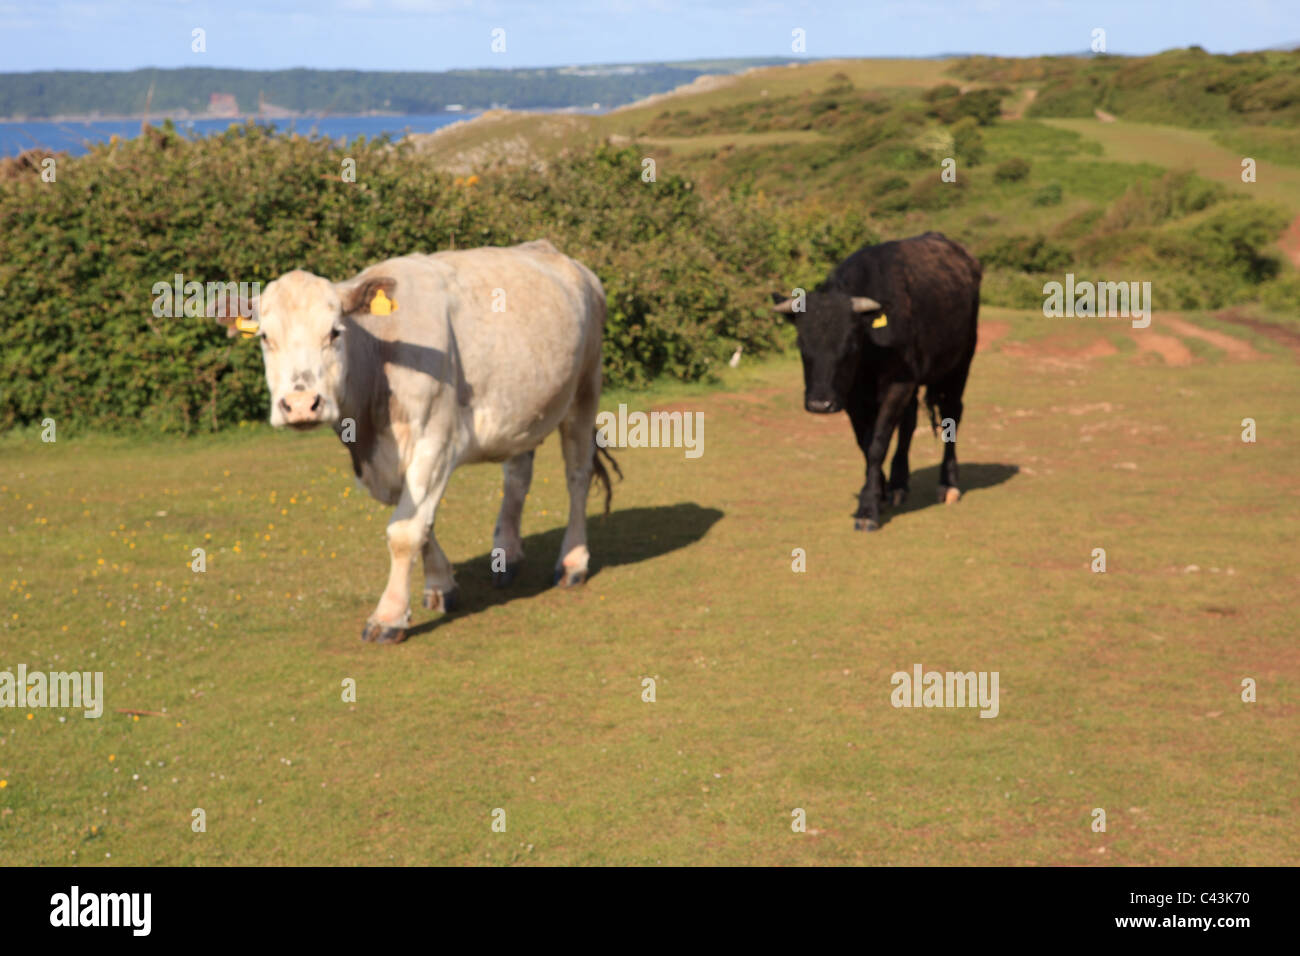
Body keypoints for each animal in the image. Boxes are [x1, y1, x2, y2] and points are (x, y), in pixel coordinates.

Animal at [215, 239, 616, 644]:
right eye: (265, 337)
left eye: (335, 332)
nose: (300, 405)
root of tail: (558, 255)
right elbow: (423, 523)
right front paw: (440, 585)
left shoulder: (434, 441)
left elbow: (405, 532)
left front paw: (388, 616)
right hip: (522, 407)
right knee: (517, 478)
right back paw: (507, 554)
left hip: (585, 389)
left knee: (577, 476)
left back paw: (572, 562)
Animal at [772, 231, 981, 532]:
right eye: (802, 344)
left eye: (850, 345)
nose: (820, 403)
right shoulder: (852, 396)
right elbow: (866, 443)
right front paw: (879, 491)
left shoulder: (897, 386)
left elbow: (878, 444)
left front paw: (868, 507)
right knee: (909, 424)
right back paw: (899, 484)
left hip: (960, 363)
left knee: (951, 414)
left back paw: (948, 483)